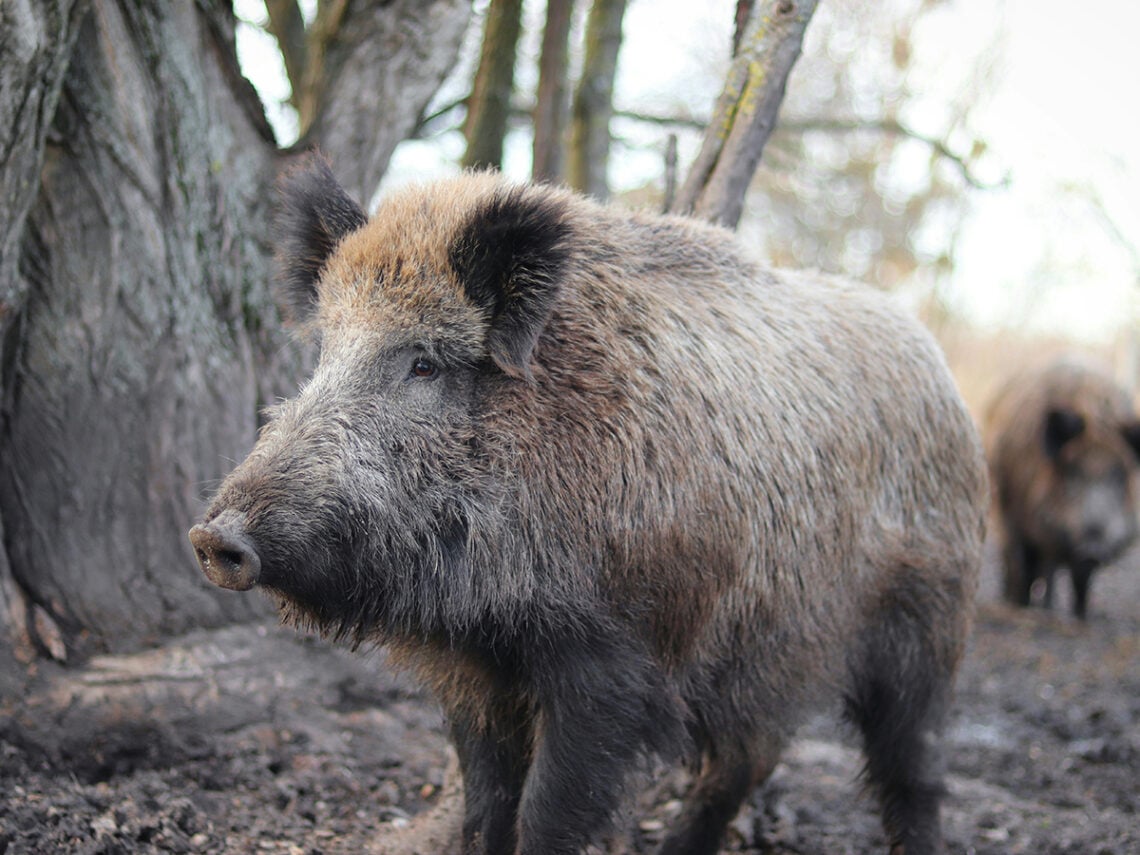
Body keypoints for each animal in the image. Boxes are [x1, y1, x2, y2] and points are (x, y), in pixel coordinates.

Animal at [189, 154, 988, 855]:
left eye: (423, 362)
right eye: (325, 351)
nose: (213, 536)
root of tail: (943, 373)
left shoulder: (614, 659)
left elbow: (549, 812)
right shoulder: (474, 670)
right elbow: (486, 808)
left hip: (928, 624)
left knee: (912, 772)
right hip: (773, 647)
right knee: (745, 759)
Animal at [985, 358, 1140, 619]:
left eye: (1119, 475)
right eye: (1072, 472)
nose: (1092, 549)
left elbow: (1080, 580)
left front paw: (1080, 617)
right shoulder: (1020, 518)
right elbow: (1027, 565)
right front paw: (1027, 606)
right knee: (1019, 562)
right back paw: (1017, 602)